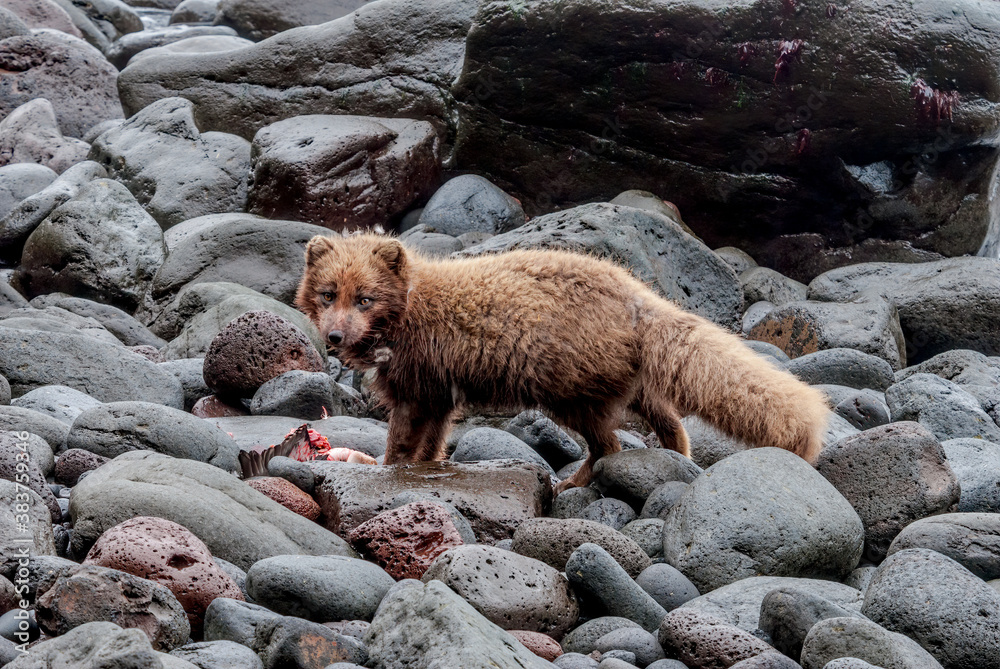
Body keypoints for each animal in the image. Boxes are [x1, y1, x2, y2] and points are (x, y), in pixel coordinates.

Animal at [295, 232, 830, 493]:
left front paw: (383, 467)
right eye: (328, 294)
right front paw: (423, 467)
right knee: (670, 423)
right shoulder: (440, 390)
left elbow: (404, 438)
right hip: (630, 382)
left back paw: (573, 480)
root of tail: (637, 297)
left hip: (569, 389)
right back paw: (673, 458)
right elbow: (433, 439)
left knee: (609, 444)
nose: (335, 336)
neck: (411, 310)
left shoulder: (417, 382)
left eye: (364, 297)